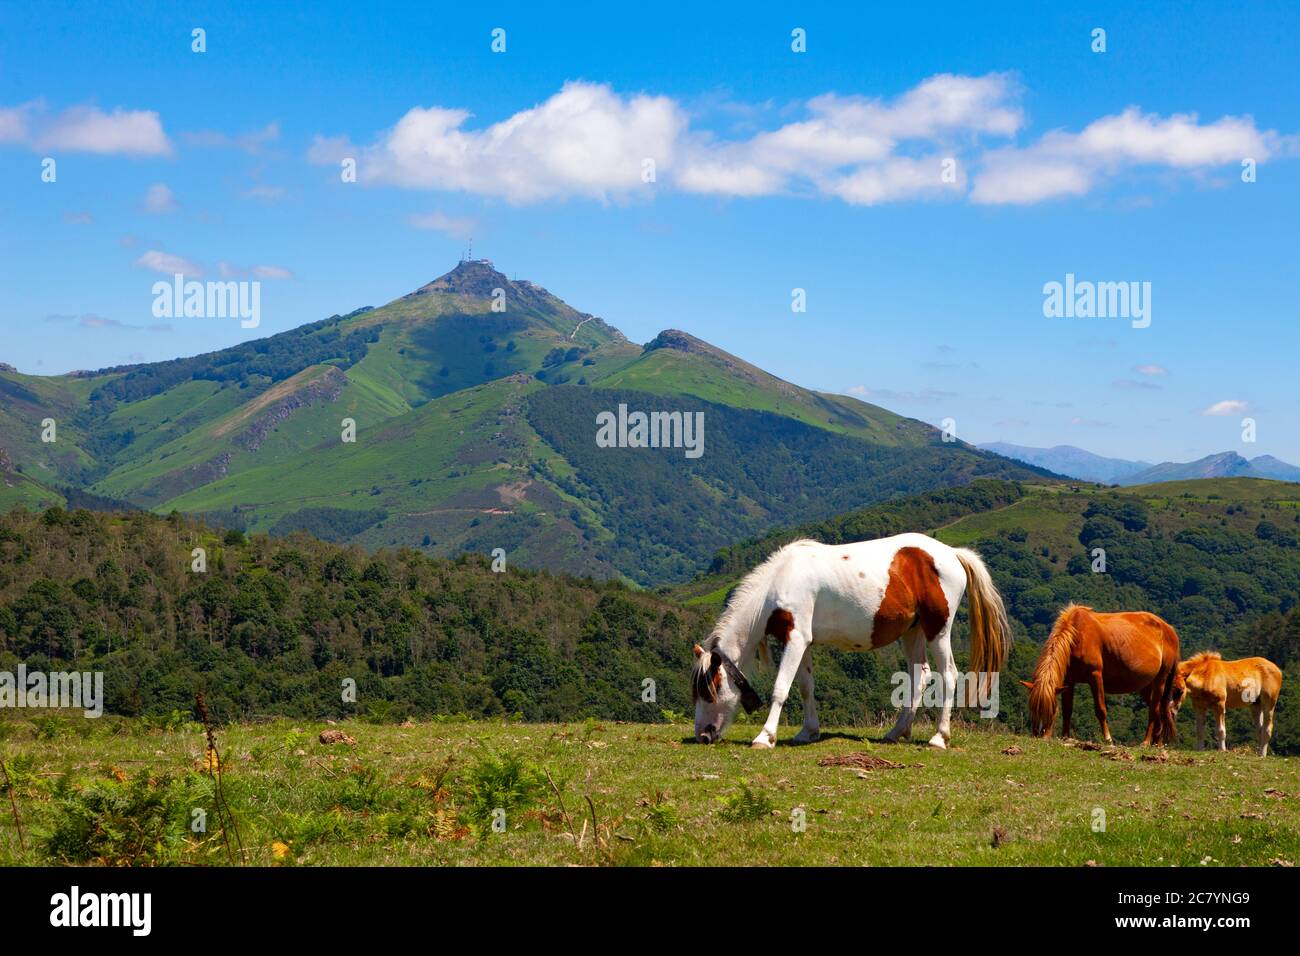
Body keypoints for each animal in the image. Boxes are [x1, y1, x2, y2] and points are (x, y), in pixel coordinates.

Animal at [689, 533, 1011, 749]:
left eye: (711, 688)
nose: (703, 734)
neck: (782, 580)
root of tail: (953, 554)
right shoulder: (801, 642)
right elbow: (806, 687)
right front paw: (808, 732)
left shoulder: (796, 638)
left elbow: (781, 687)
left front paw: (765, 737)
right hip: (913, 632)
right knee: (921, 675)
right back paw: (897, 733)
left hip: (938, 630)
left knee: (949, 675)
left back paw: (939, 737)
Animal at [1021, 604, 1180, 745]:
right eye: (1032, 709)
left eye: (1052, 710)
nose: (1039, 736)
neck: (1077, 636)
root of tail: (1168, 629)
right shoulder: (1068, 681)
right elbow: (1067, 710)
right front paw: (1065, 736)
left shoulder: (1095, 676)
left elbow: (1100, 709)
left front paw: (1108, 739)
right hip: (1146, 686)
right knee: (1159, 710)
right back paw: (1157, 743)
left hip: (1160, 680)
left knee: (1154, 710)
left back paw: (1146, 742)